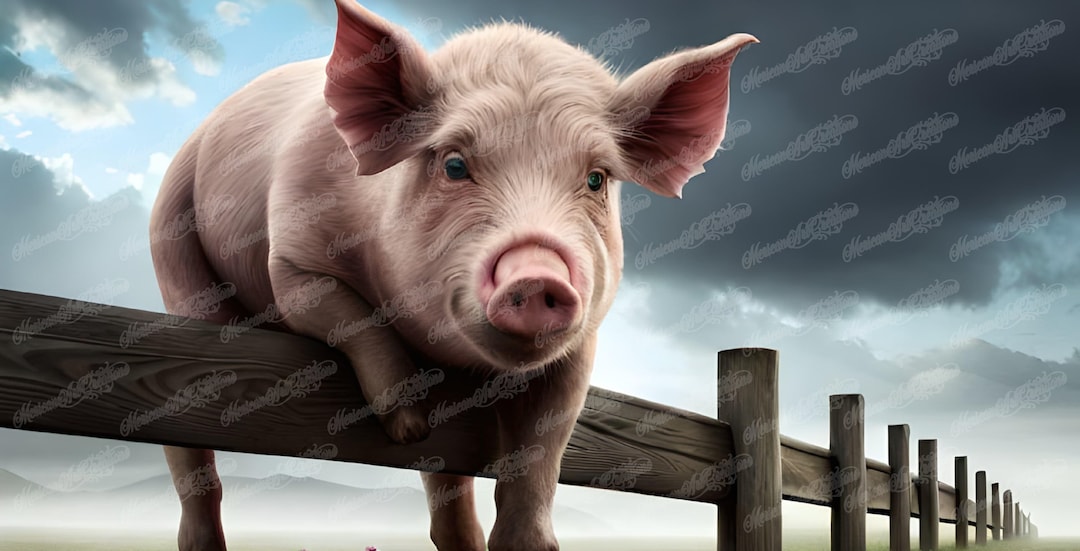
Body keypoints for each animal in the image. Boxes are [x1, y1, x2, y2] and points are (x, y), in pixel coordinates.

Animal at [149, 0, 756, 549]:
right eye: (454, 165)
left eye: (596, 179)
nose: (537, 276)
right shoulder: (292, 260)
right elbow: (346, 314)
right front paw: (408, 426)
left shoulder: (579, 345)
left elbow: (544, 447)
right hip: (173, 243)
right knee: (188, 436)